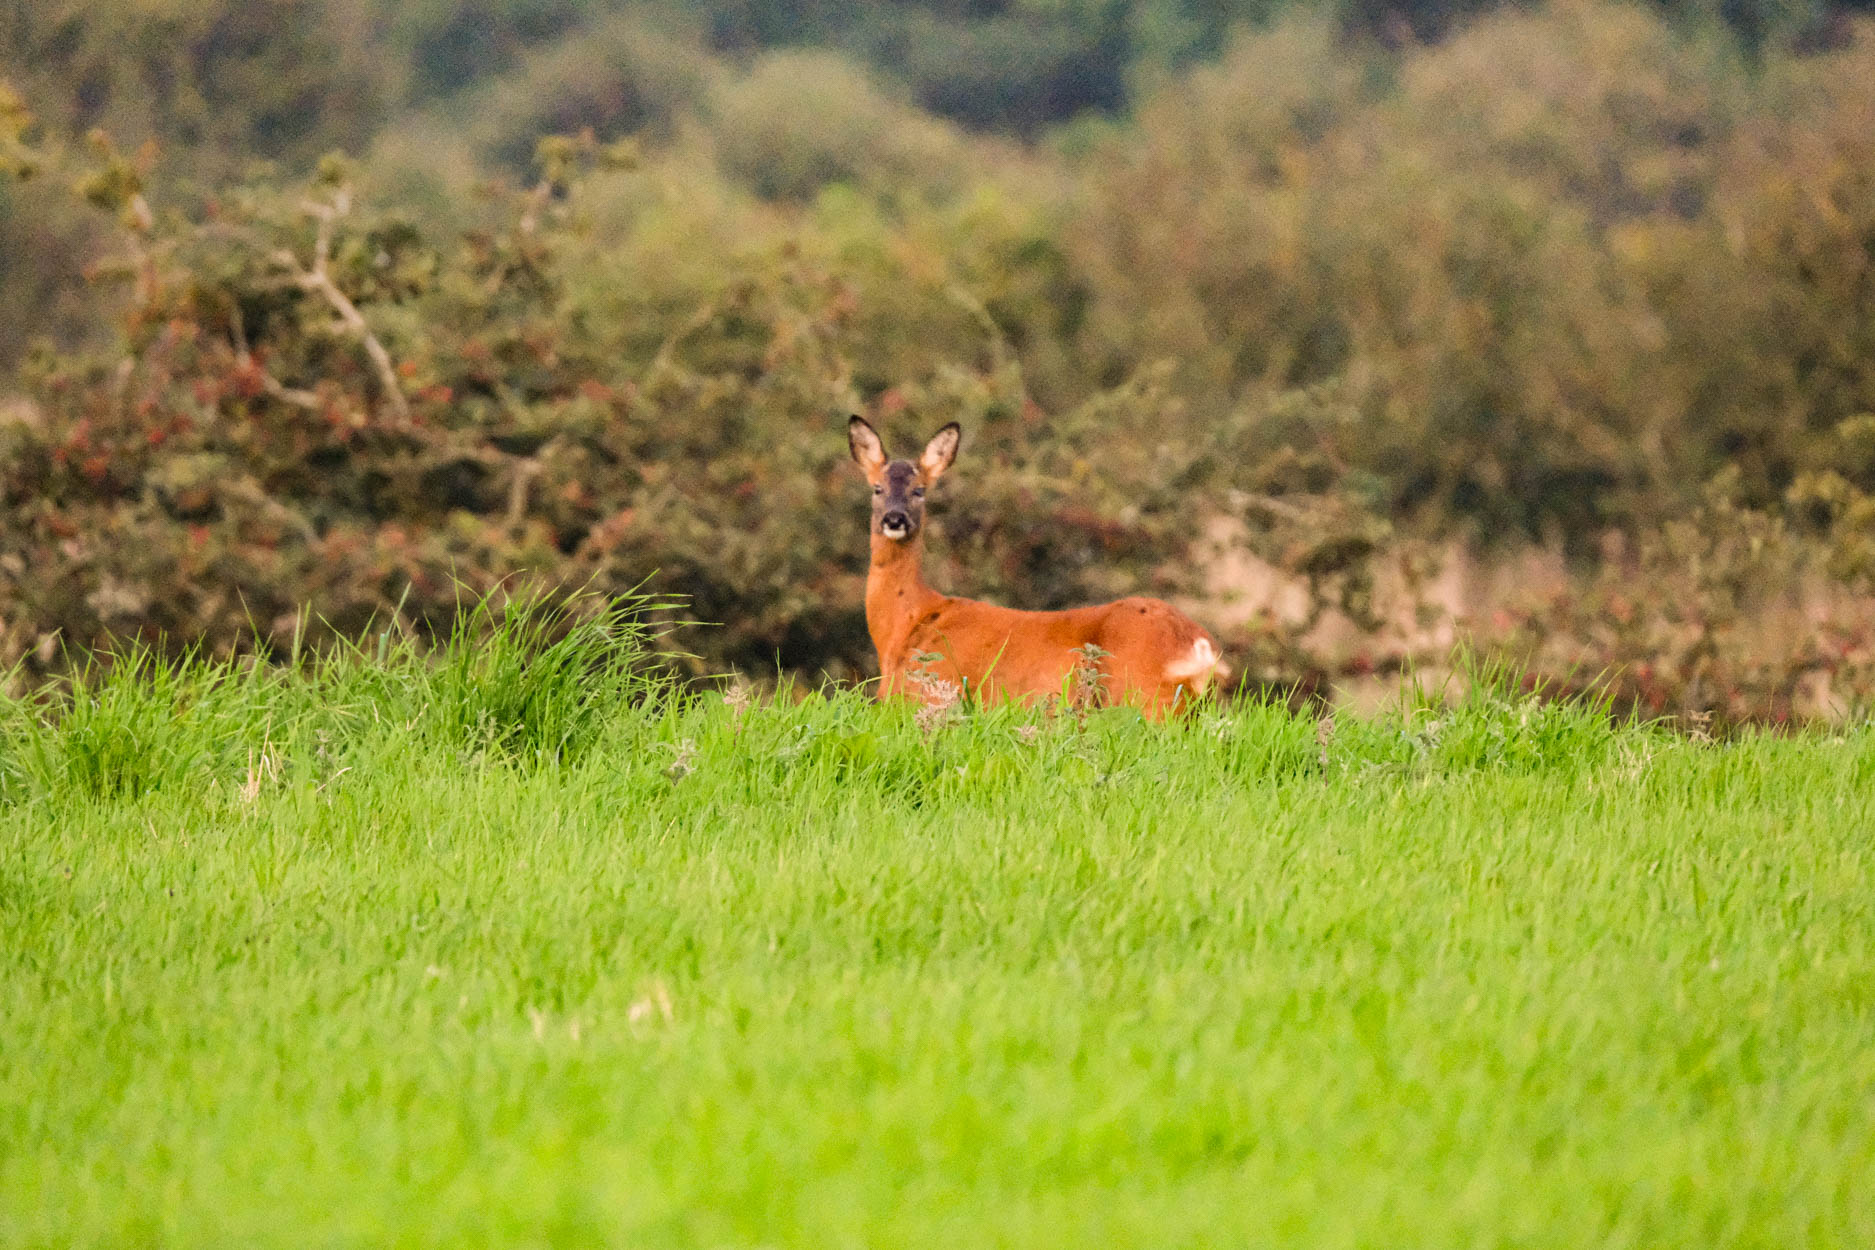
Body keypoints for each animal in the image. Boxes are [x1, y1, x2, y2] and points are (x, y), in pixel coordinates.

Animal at [846, 415, 1227, 718]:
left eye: (920, 490)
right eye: (877, 488)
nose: (895, 519)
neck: (908, 620)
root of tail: (1198, 645)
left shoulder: (923, 693)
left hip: (1144, 697)